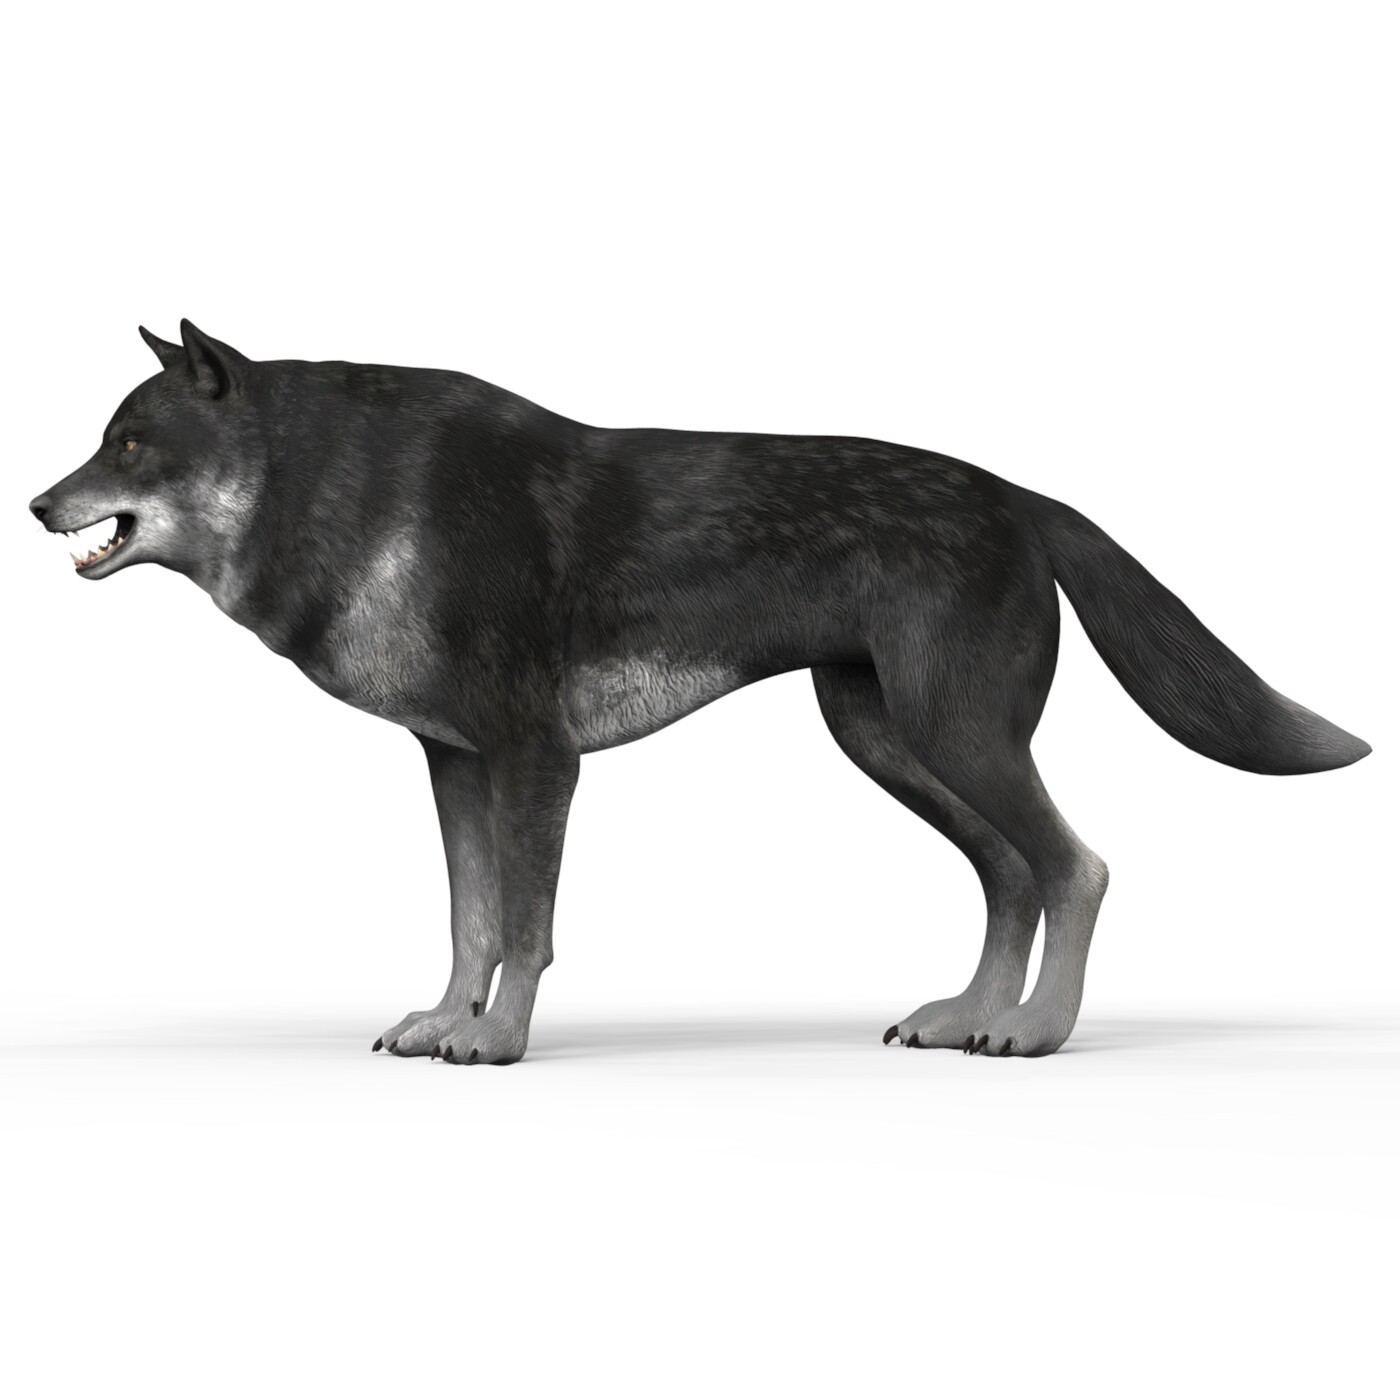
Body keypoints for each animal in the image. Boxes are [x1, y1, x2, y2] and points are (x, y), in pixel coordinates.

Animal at [30, 322, 1370, 1063]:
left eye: (131, 444)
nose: (38, 503)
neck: (349, 490)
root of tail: (1023, 498)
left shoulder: (537, 762)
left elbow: (525, 926)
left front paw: (497, 1041)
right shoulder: (453, 763)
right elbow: (468, 919)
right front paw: (444, 1020)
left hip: (951, 738)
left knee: (1073, 865)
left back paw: (1036, 1030)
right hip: (893, 745)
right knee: (1010, 873)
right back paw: (967, 1015)